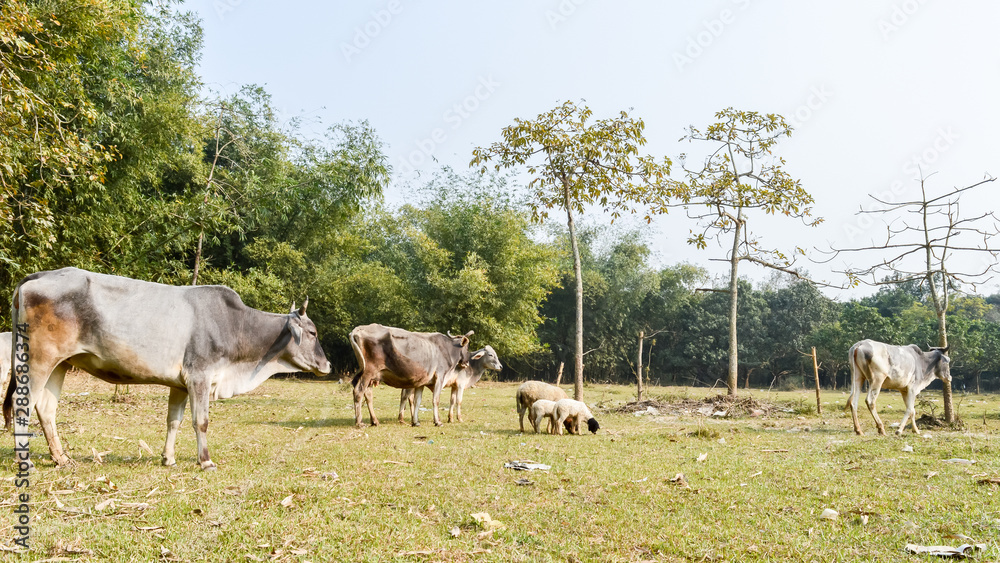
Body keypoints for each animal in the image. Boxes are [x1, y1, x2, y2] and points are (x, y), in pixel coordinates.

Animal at [3, 267, 331, 470]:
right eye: (313, 332)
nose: (327, 365)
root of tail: (39, 275)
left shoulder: (180, 384)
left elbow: (173, 421)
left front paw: (168, 458)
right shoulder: (200, 376)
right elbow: (201, 421)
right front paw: (205, 461)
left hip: (60, 363)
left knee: (46, 408)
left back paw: (61, 458)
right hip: (38, 359)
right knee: (23, 405)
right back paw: (26, 460)